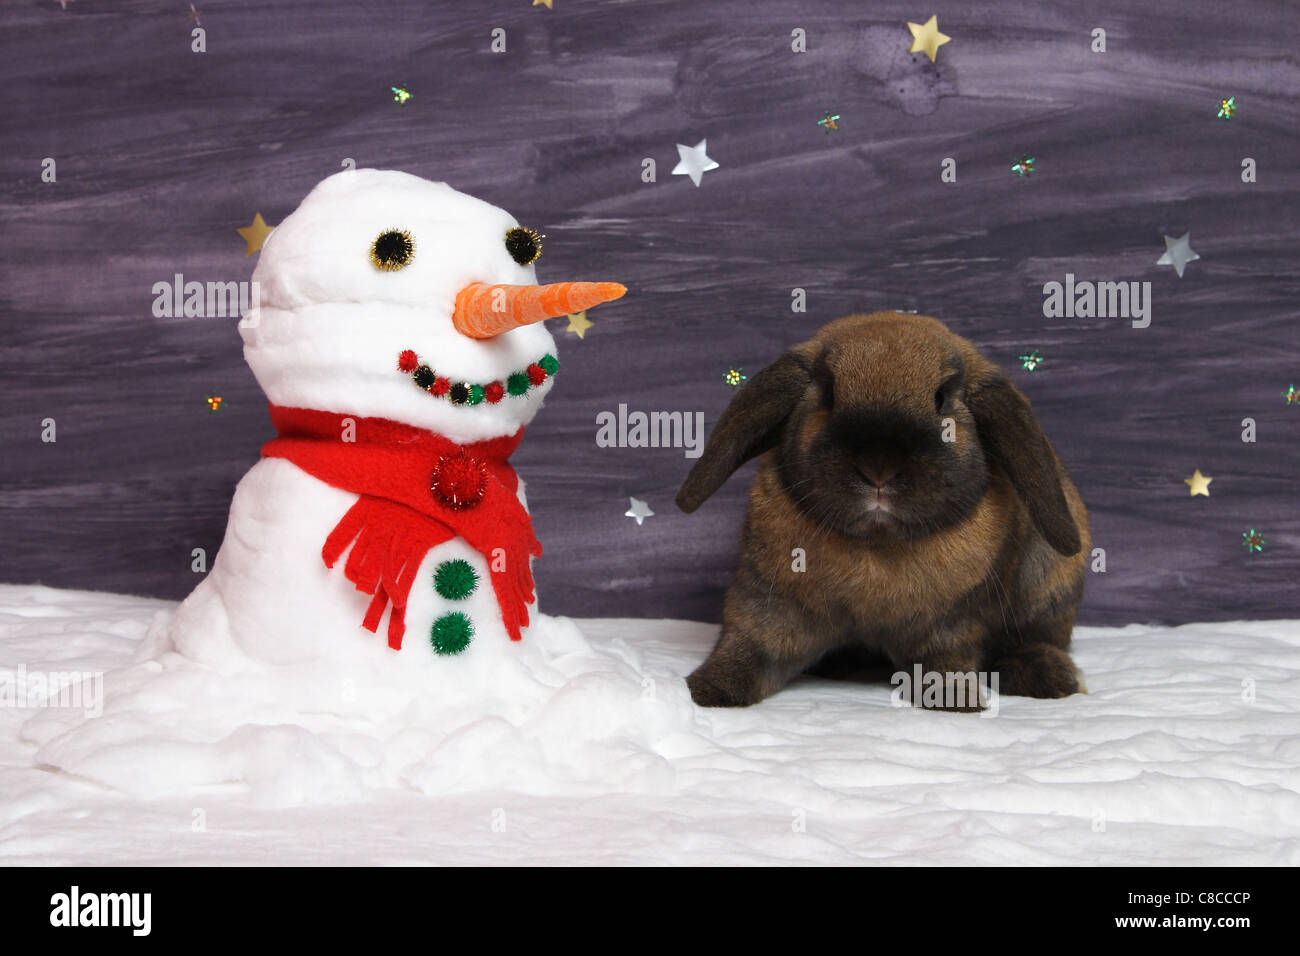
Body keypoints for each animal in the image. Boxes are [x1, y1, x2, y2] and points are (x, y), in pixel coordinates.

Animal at [676, 312, 1090, 709]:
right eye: (828, 393)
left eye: (941, 398)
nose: (878, 465)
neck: (875, 545)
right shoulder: (768, 601)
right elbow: (747, 646)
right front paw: (709, 690)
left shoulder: (953, 624)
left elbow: (945, 661)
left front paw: (956, 702)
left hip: (1048, 594)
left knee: (1040, 639)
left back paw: (1048, 677)